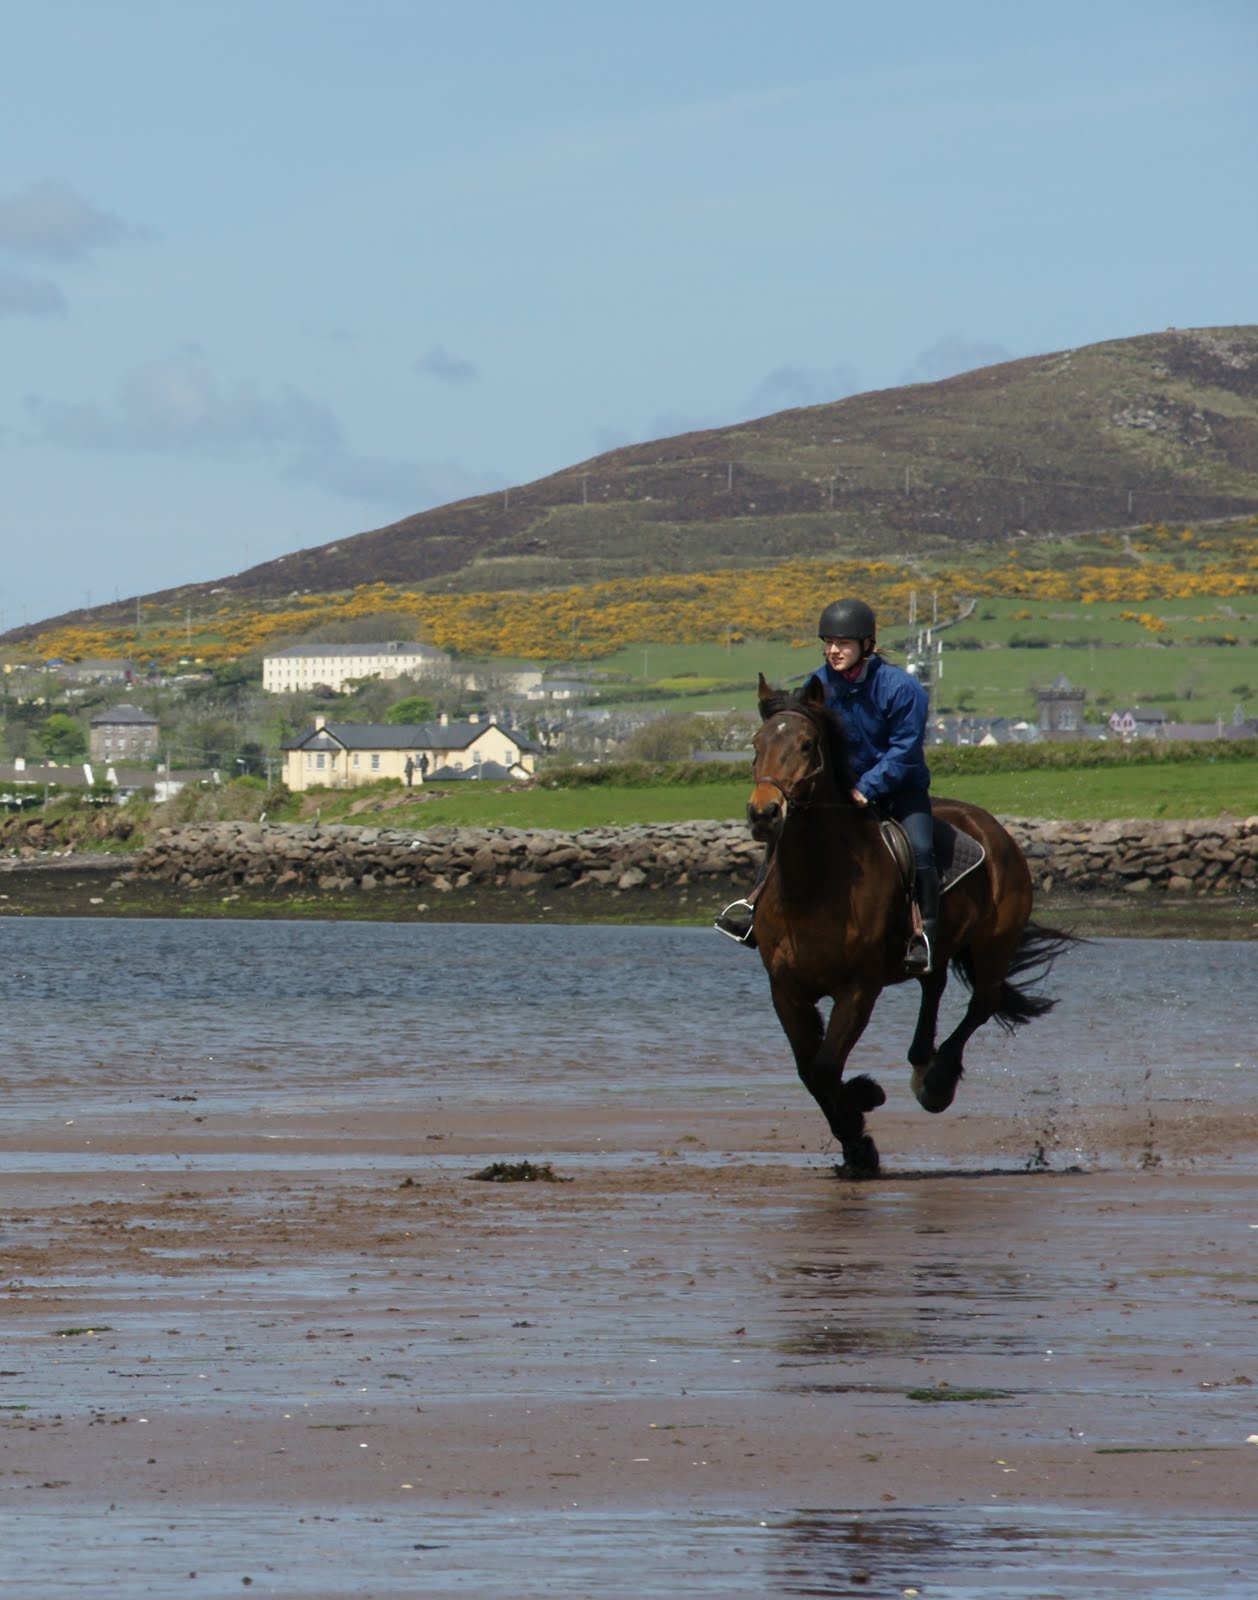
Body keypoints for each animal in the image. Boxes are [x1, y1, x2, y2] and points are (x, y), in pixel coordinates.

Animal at [745, 672, 1078, 1178]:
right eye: (756, 743)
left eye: (806, 744)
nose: (764, 813)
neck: (816, 882)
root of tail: (991, 827)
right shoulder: (786, 989)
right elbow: (811, 1071)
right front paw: (856, 1131)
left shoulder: (858, 989)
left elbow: (824, 1068)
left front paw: (861, 1121)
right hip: (940, 946)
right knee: (934, 983)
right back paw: (921, 1060)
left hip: (994, 945)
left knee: (981, 1003)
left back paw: (935, 1082)